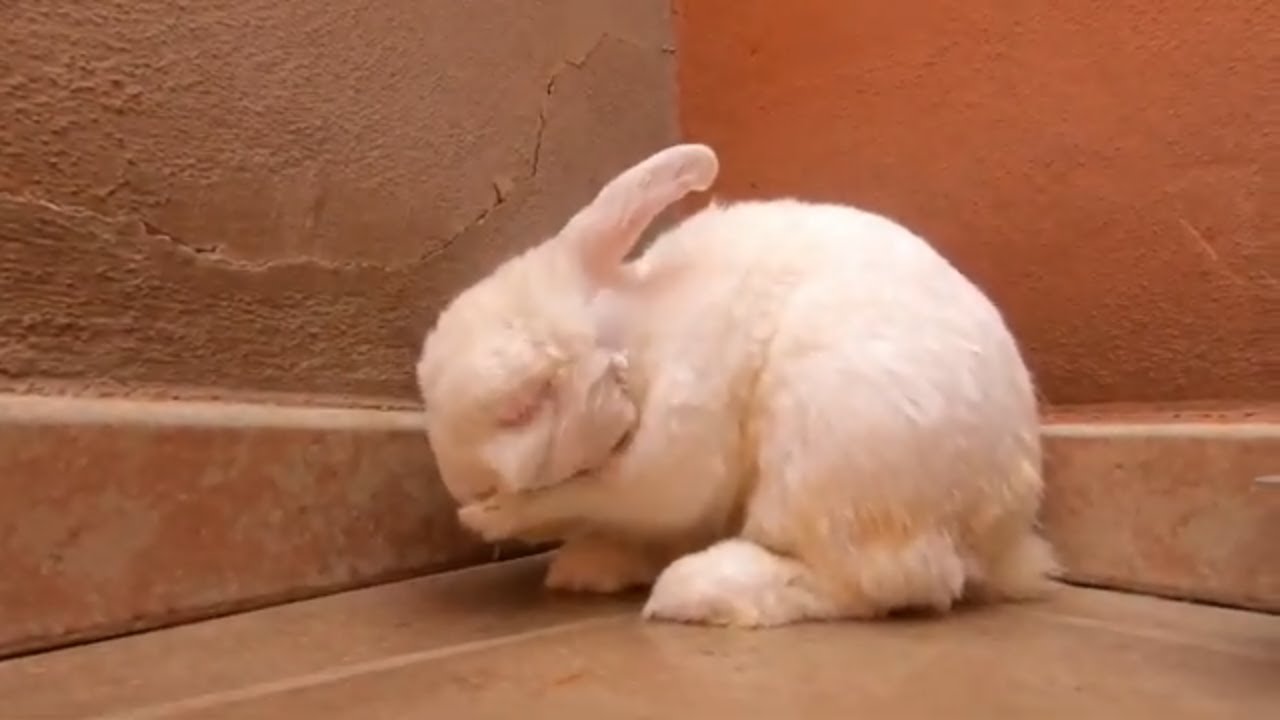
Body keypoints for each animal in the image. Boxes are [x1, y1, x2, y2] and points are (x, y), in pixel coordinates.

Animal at [415, 143, 1059, 627]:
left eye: (520, 407)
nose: (464, 486)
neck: (633, 352)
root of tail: (1005, 541)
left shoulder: (673, 460)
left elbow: (601, 494)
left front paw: (493, 517)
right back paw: (595, 566)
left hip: (831, 462)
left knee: (879, 585)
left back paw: (694, 590)